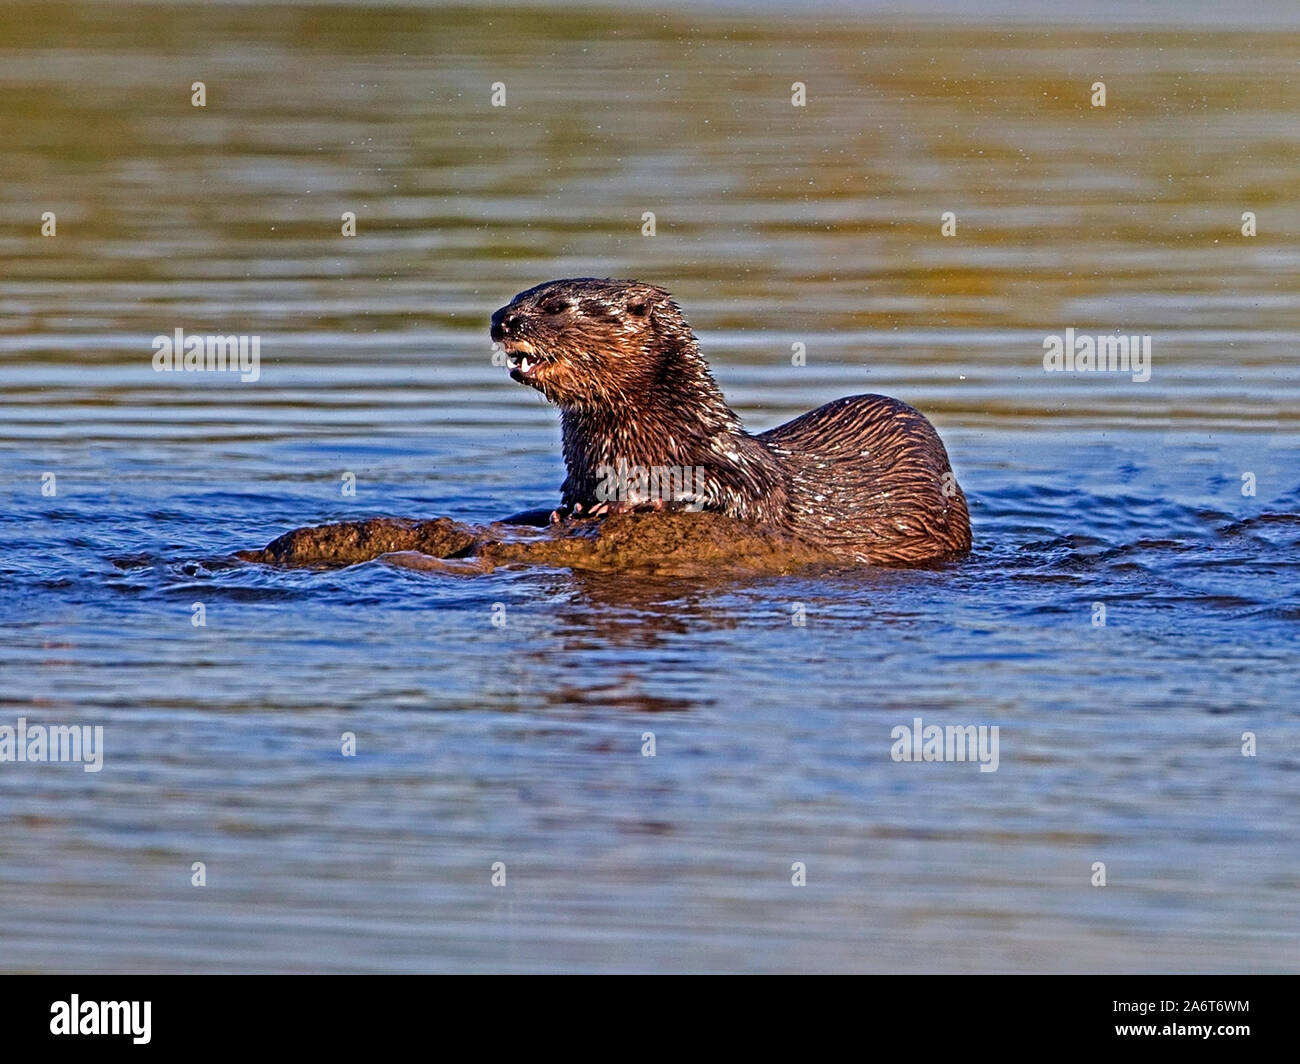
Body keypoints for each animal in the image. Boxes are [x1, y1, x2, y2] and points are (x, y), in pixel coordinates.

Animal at [490, 278, 971, 565]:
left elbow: (734, 496)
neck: (632, 446)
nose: (501, 320)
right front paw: (570, 510)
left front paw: (637, 501)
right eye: (514, 298)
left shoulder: (739, 472)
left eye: (555, 305)